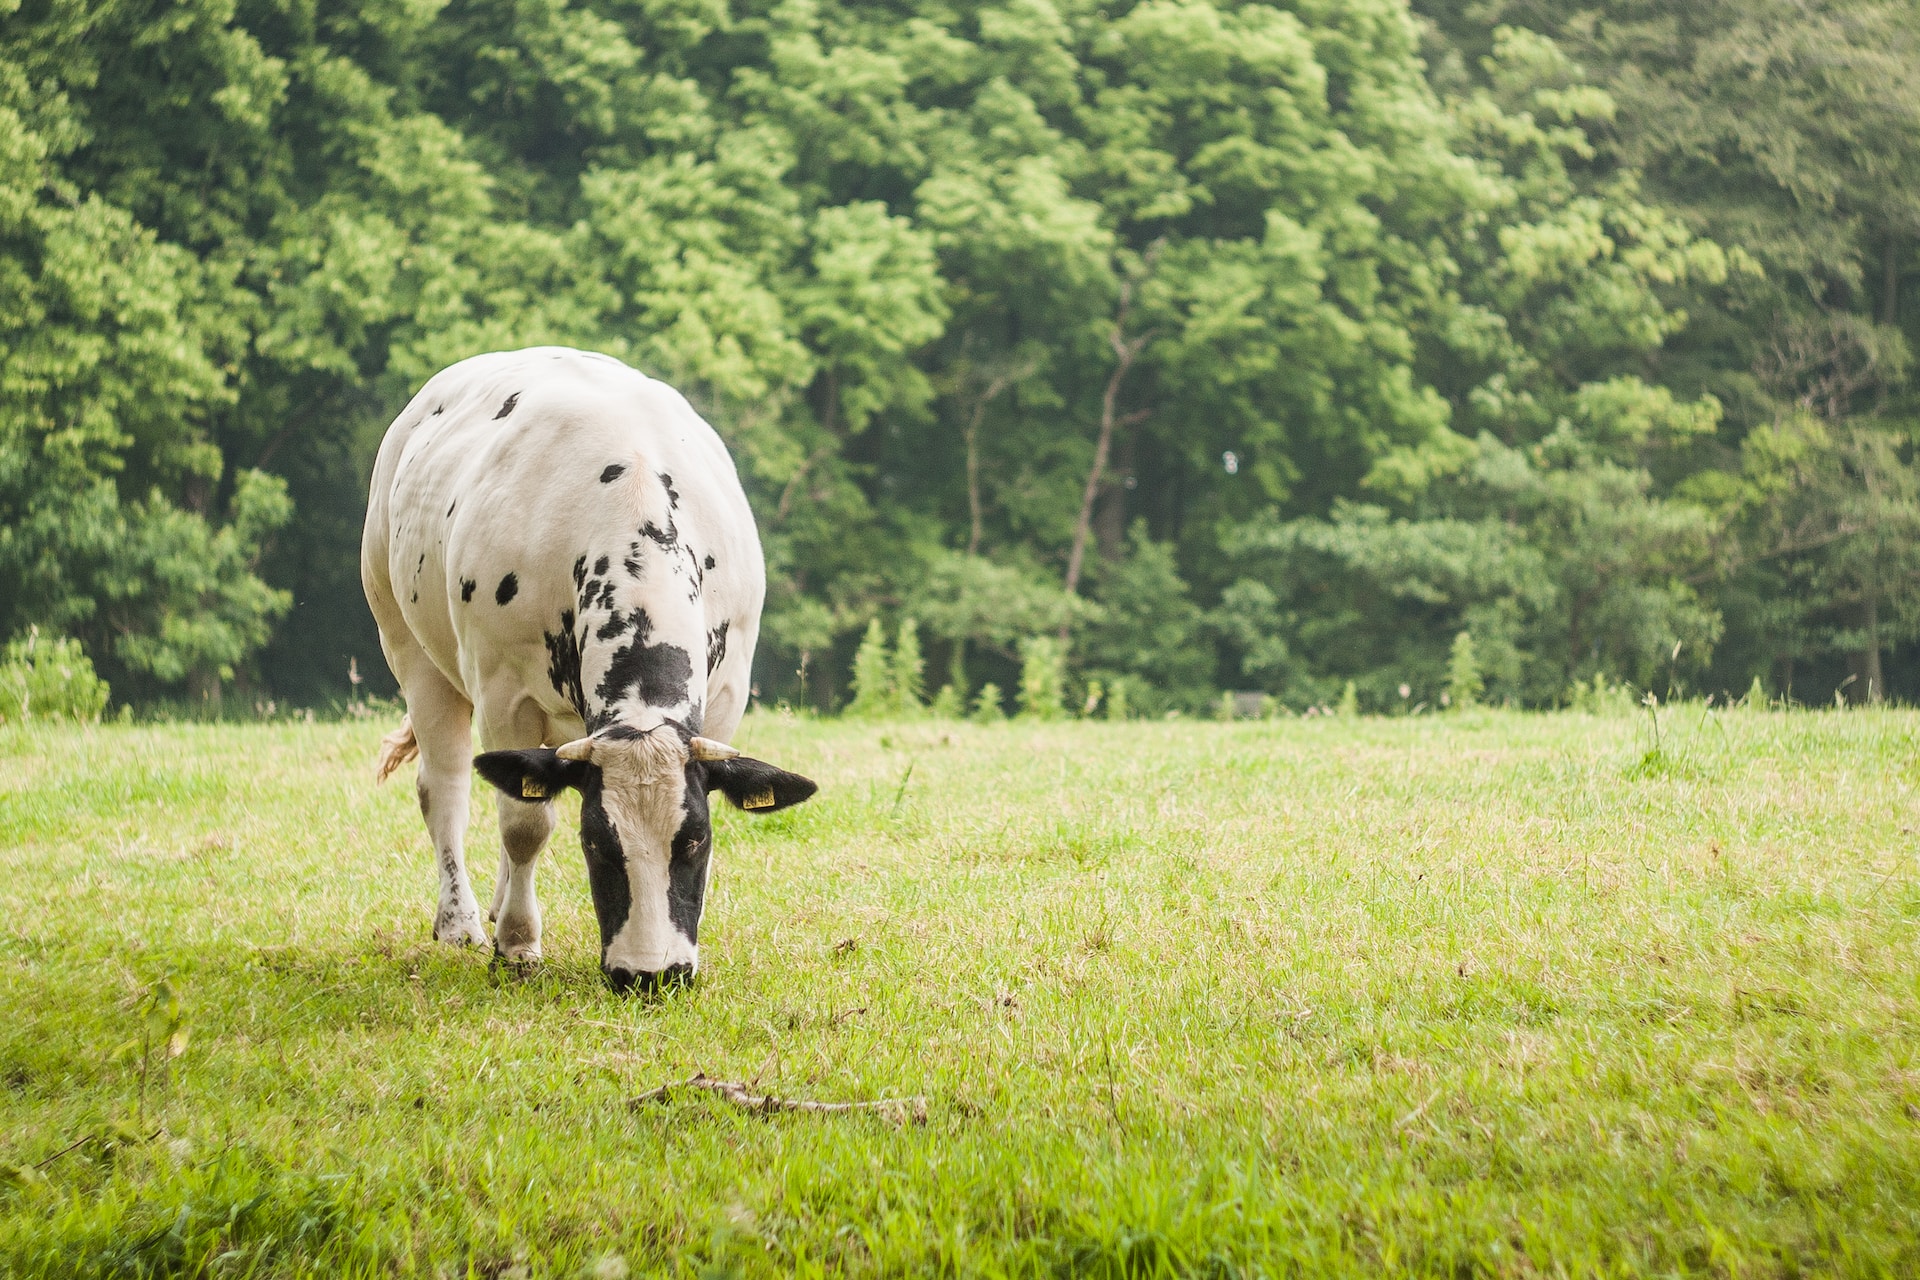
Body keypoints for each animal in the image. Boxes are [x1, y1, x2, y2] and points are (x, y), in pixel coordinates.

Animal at [360, 347, 816, 992]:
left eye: (695, 841)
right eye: (597, 844)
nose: (651, 975)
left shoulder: (726, 696)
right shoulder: (504, 694)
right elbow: (525, 823)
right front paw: (517, 945)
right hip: (408, 645)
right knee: (447, 786)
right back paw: (463, 921)